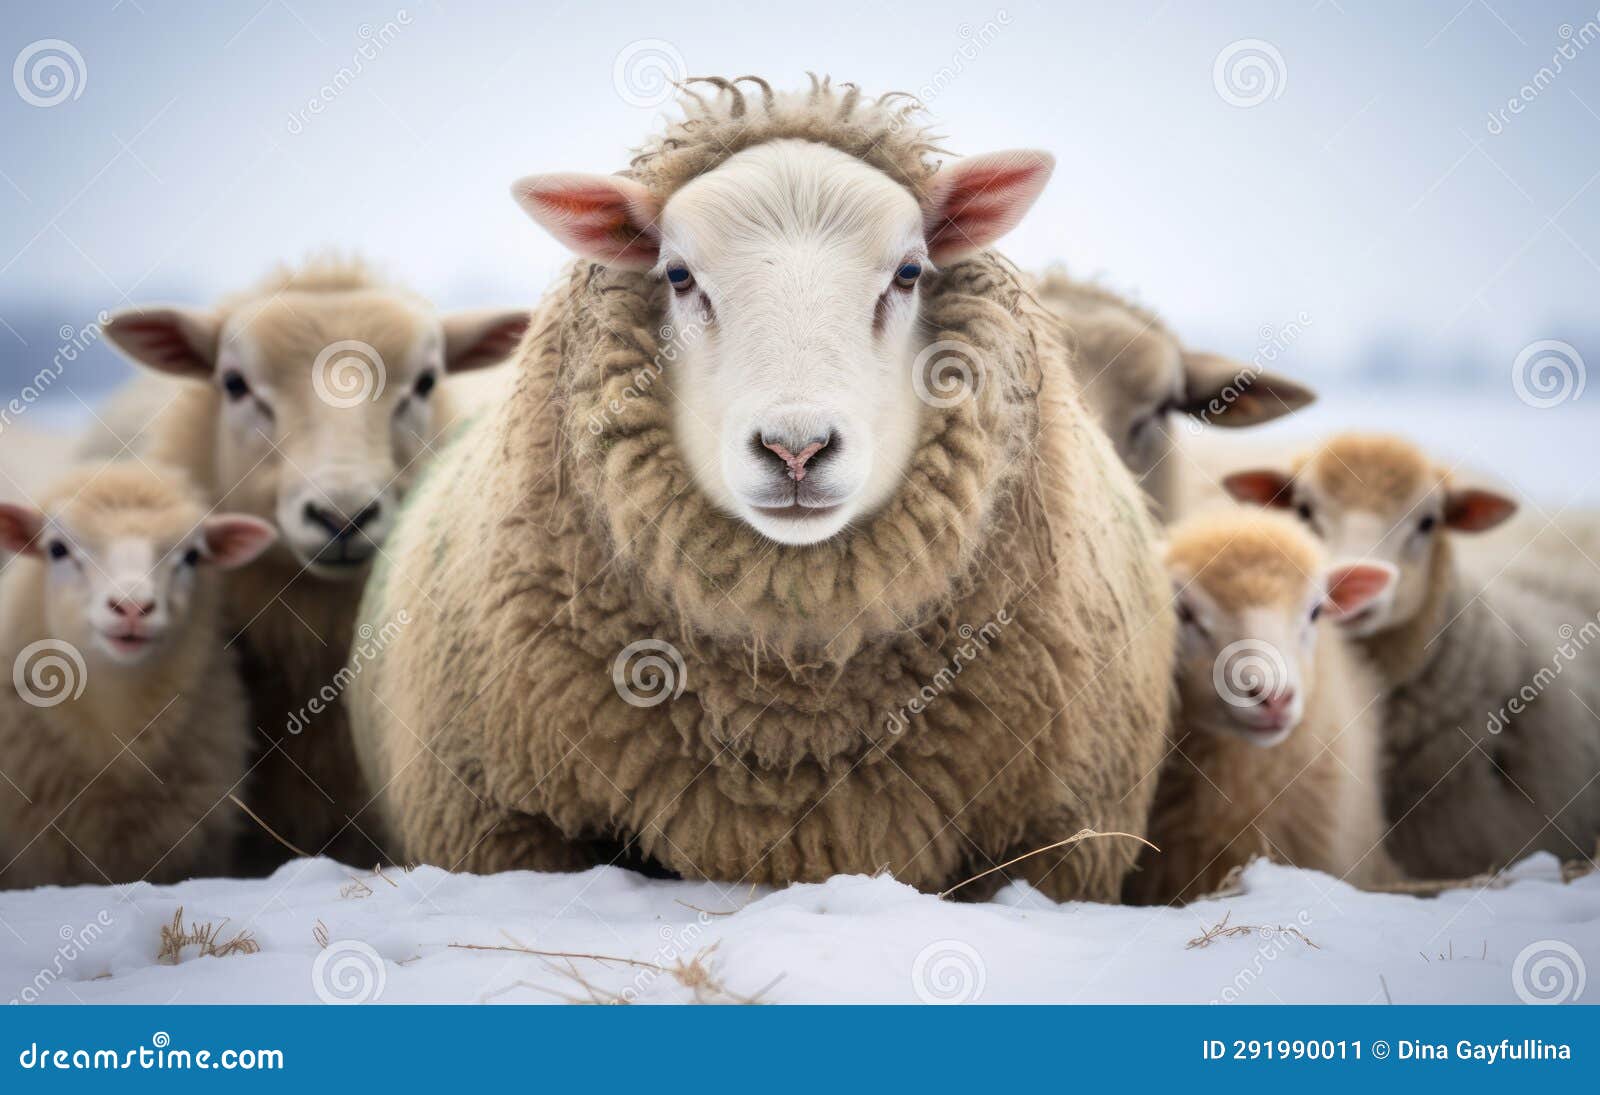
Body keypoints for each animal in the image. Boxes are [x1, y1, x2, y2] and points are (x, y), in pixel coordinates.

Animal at [347, 77, 1176, 901]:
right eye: (679, 276)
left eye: (909, 273)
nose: (796, 448)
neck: (792, 708)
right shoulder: (508, 827)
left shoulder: (1058, 840)